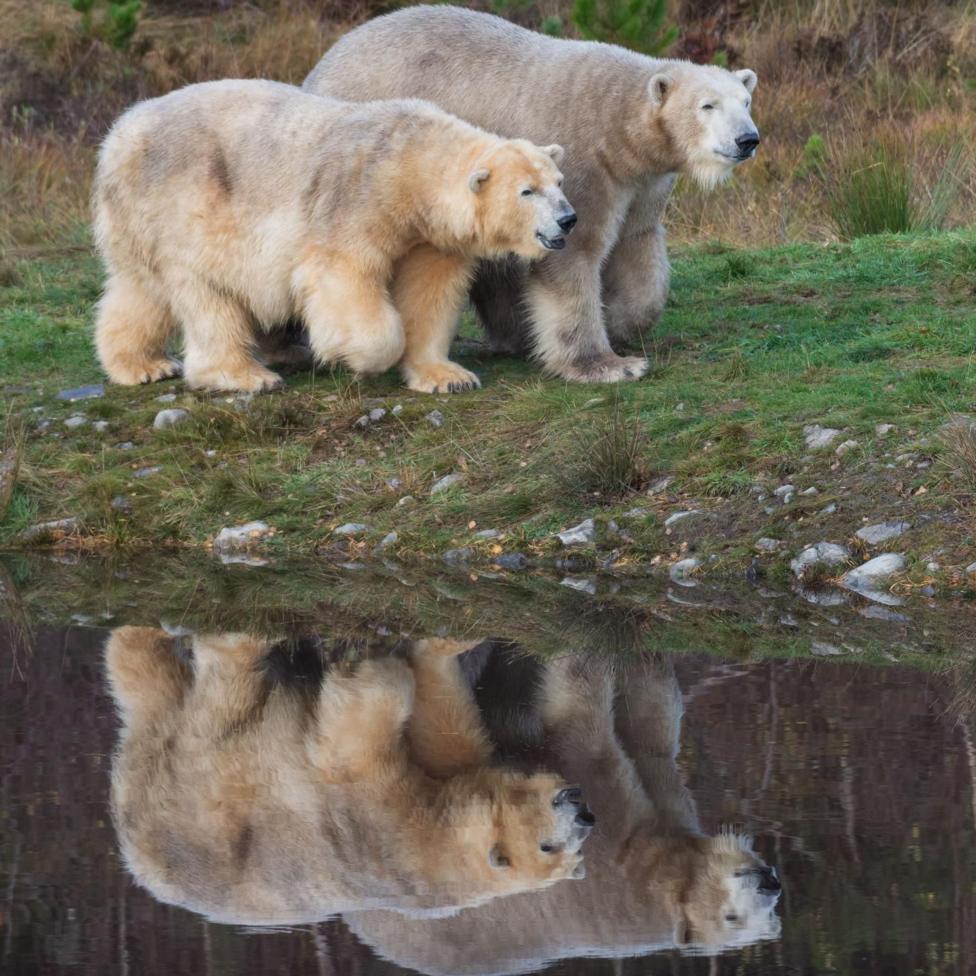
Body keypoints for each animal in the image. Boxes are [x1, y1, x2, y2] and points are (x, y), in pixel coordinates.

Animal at [93, 80, 575, 394]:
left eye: (558, 181)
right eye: (527, 191)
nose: (568, 219)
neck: (407, 163)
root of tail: (117, 139)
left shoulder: (429, 238)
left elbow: (429, 293)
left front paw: (448, 377)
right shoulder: (357, 203)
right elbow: (342, 279)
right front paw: (356, 358)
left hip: (137, 223)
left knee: (140, 290)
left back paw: (142, 364)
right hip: (186, 208)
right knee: (207, 291)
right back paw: (246, 375)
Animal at [104, 628, 594, 925]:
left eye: (562, 850)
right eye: (548, 845)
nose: (585, 812)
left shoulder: (380, 827)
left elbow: (351, 756)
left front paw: (366, 668)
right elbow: (441, 723)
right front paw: (442, 644)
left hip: (199, 792)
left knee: (219, 699)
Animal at [304, 5, 760, 384]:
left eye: (746, 100)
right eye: (708, 105)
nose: (747, 139)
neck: (617, 125)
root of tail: (321, 65)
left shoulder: (642, 183)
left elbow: (638, 246)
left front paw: (621, 321)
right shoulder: (580, 165)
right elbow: (571, 255)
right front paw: (606, 365)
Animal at [342, 647, 783, 971]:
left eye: (766, 919)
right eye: (731, 918)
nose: (771, 883)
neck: (651, 881)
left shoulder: (654, 803)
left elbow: (648, 728)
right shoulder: (611, 844)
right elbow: (583, 723)